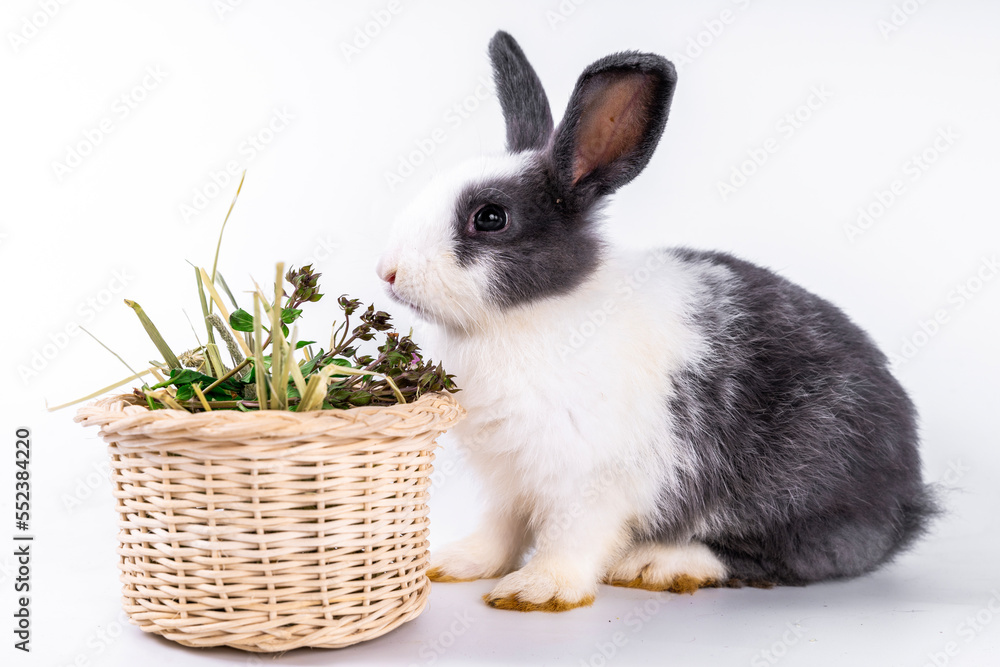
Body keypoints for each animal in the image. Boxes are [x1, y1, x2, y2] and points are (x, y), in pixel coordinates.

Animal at [375, 30, 939, 612]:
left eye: (490, 218)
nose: (388, 272)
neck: (528, 315)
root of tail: (908, 500)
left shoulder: (589, 480)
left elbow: (570, 537)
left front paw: (537, 590)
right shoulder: (509, 479)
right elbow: (500, 529)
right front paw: (456, 563)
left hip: (798, 483)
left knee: (785, 554)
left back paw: (659, 563)